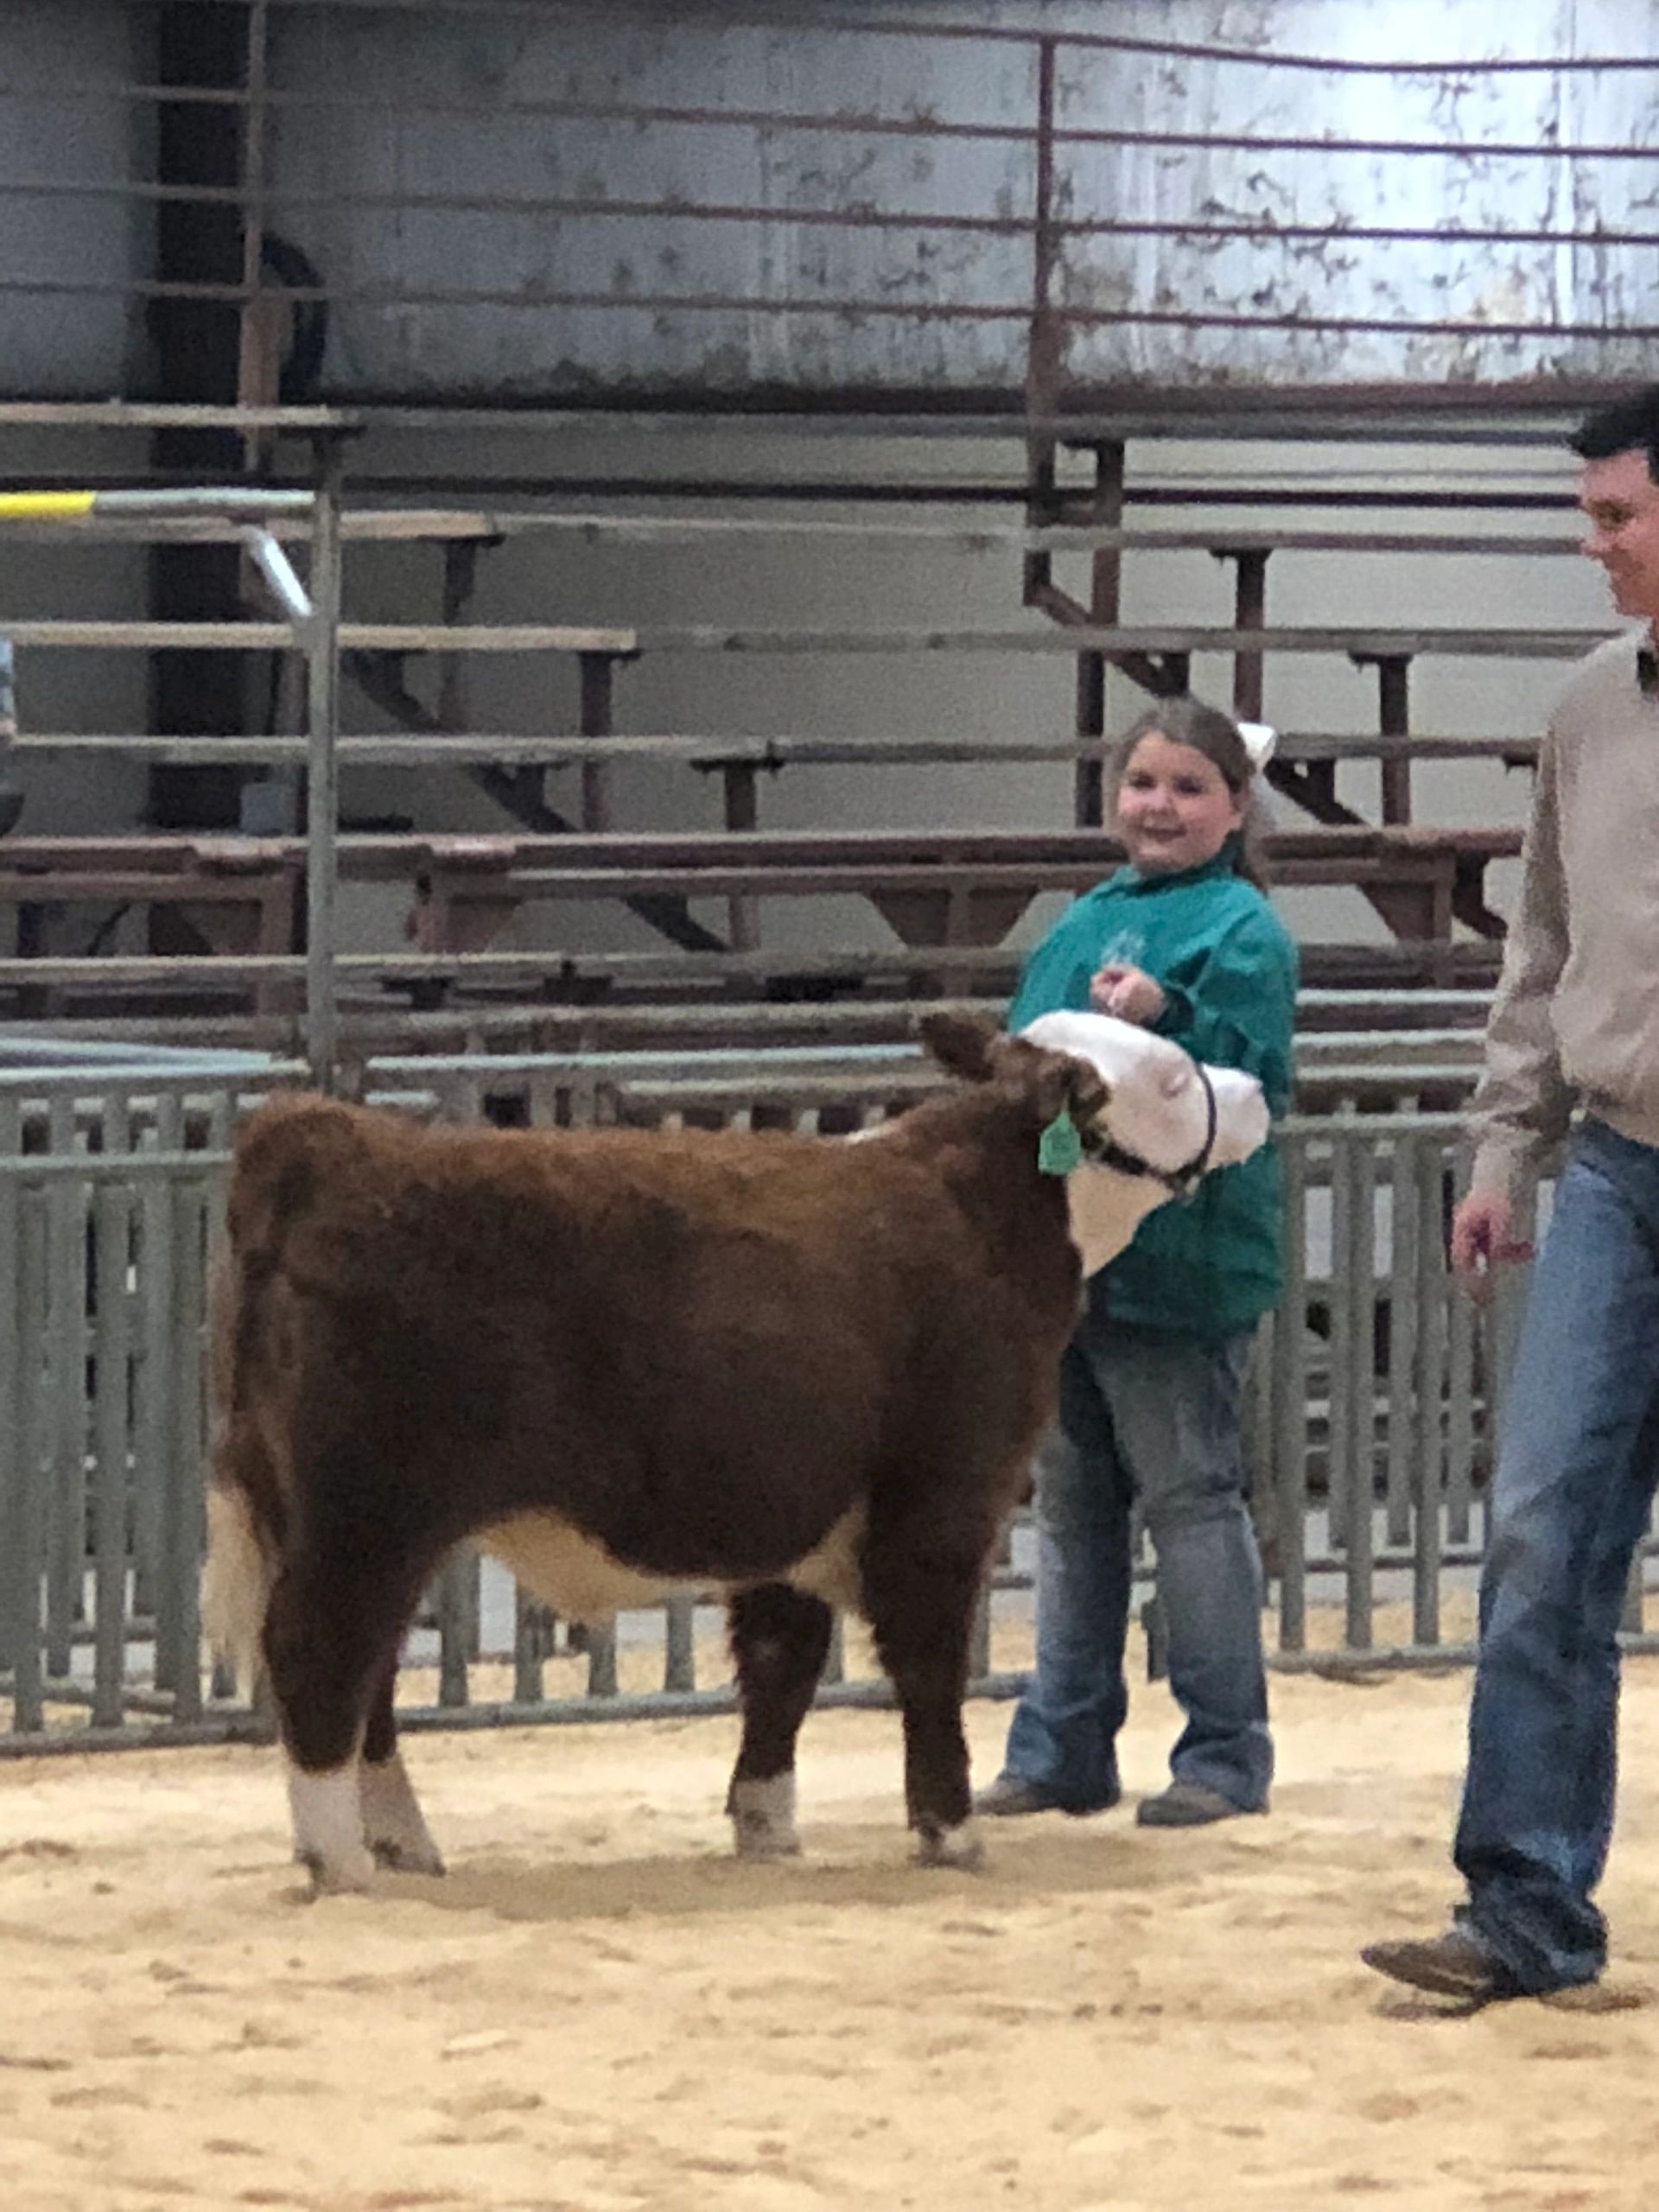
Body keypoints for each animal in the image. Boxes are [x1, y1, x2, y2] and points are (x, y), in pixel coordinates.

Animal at [203, 1010, 1270, 1893]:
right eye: (1171, 1076)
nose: (1256, 1092)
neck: (984, 1215)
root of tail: (329, 1142)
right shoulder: (943, 1496)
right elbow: (927, 1661)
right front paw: (950, 1831)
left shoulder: (793, 1511)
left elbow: (779, 1662)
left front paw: (765, 1827)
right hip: (368, 1513)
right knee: (321, 1652)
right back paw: (341, 1860)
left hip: (349, 1518)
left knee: (370, 1672)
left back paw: (404, 1844)